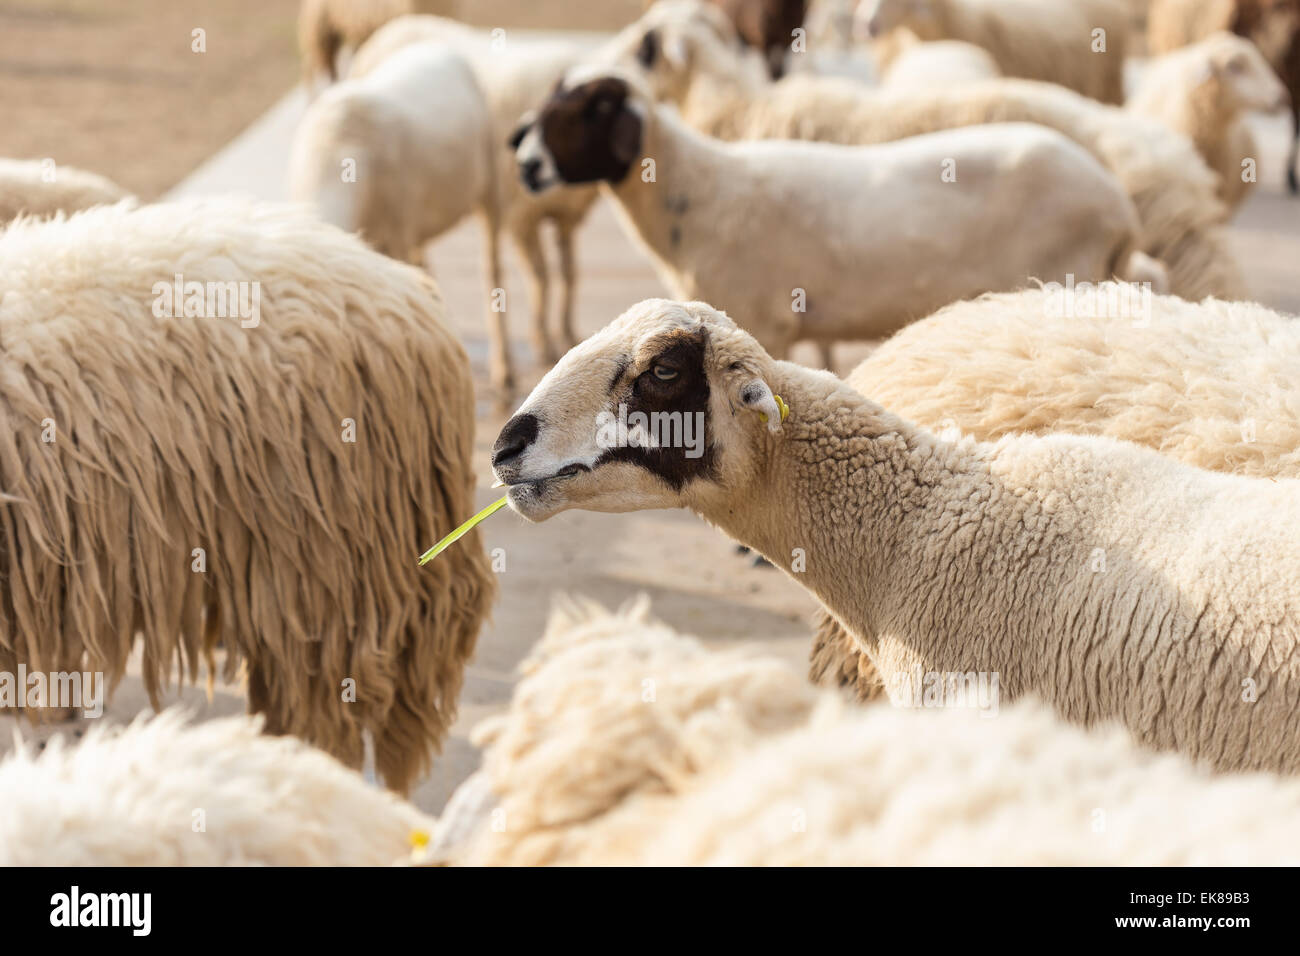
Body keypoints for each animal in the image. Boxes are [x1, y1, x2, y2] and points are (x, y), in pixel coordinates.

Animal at [349, 15, 601, 365]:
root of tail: (397, 25)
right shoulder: (521, 217)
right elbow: (542, 276)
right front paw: (545, 343)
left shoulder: (564, 215)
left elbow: (569, 273)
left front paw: (568, 335)